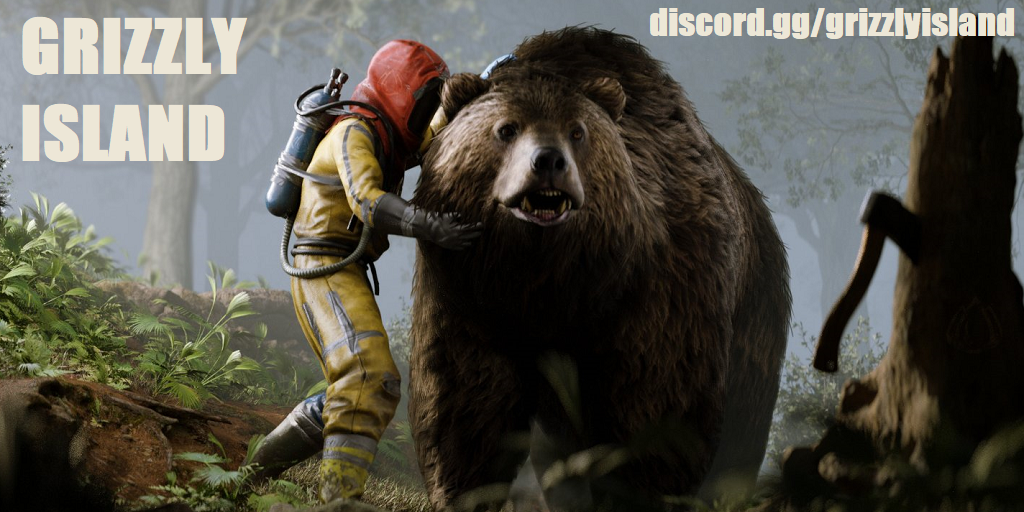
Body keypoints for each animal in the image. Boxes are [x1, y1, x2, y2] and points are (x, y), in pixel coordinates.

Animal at [408, 27, 791, 511]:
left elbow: (659, 407)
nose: (548, 161)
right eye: (505, 128)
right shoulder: (470, 300)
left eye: (578, 131)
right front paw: (464, 492)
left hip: (755, 317)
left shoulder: (665, 289)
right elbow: (466, 401)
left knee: (741, 434)